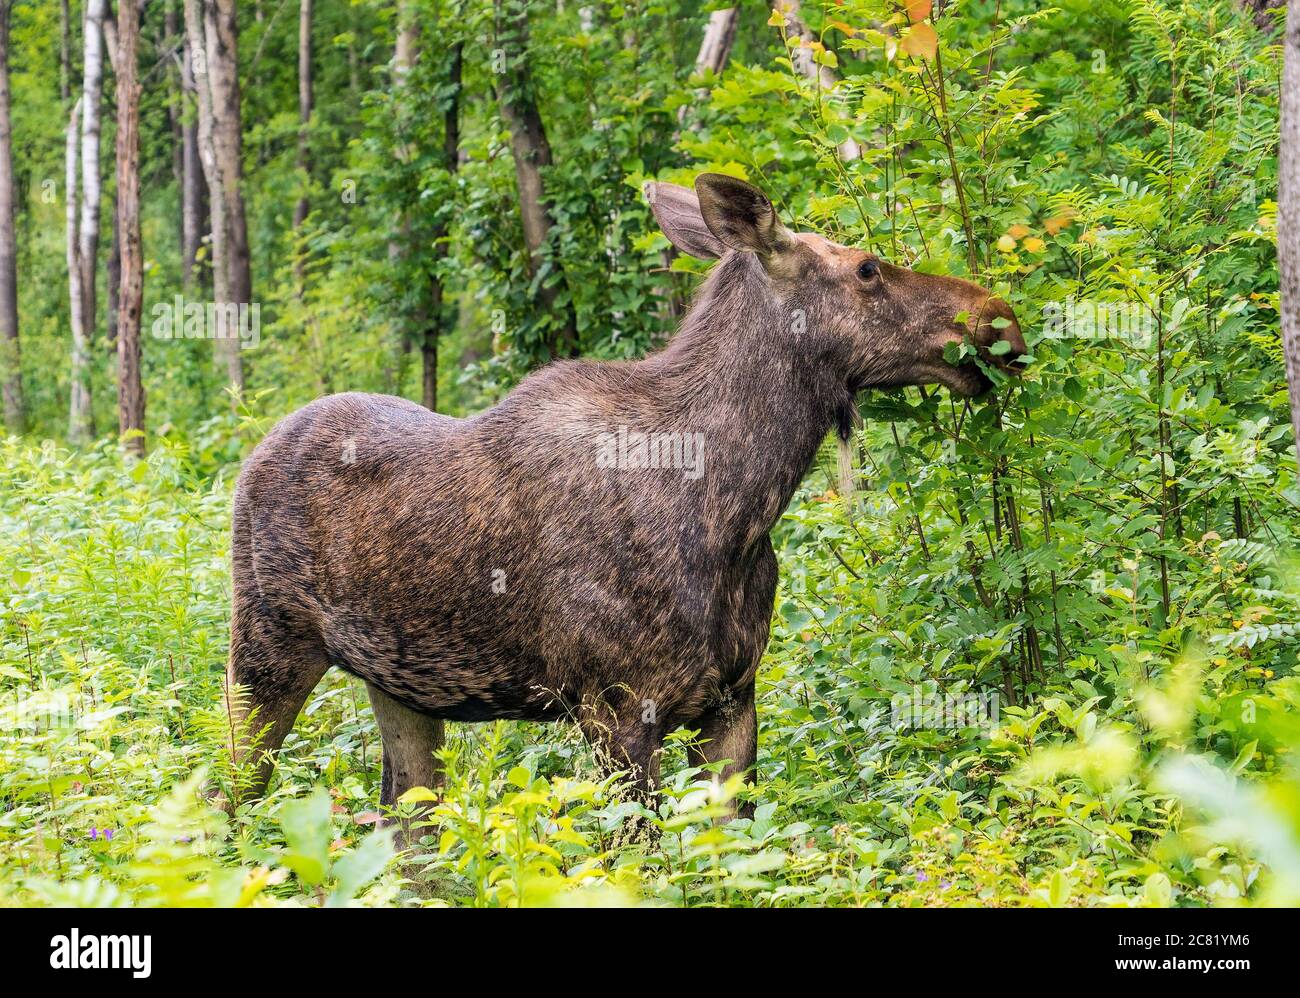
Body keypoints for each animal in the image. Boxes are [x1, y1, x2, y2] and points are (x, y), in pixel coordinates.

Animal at [224, 173, 1025, 835]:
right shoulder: (615, 708)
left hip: (402, 687)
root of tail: (253, 455)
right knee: (226, 799)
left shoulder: (734, 699)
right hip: (264, 651)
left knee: (405, 831)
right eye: (865, 267)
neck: (738, 508)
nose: (1000, 318)